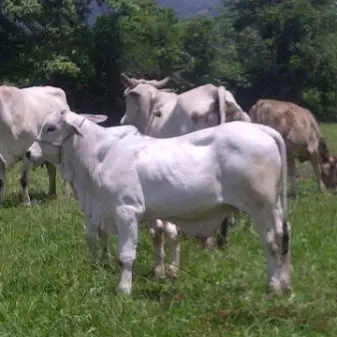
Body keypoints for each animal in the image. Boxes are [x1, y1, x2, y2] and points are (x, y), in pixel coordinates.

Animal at [25, 109, 292, 296]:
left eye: (50, 128)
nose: (29, 152)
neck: (99, 156)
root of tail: (263, 130)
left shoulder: (126, 211)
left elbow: (126, 255)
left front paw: (124, 289)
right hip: (274, 208)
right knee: (283, 236)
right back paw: (285, 283)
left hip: (260, 207)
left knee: (272, 241)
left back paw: (274, 285)